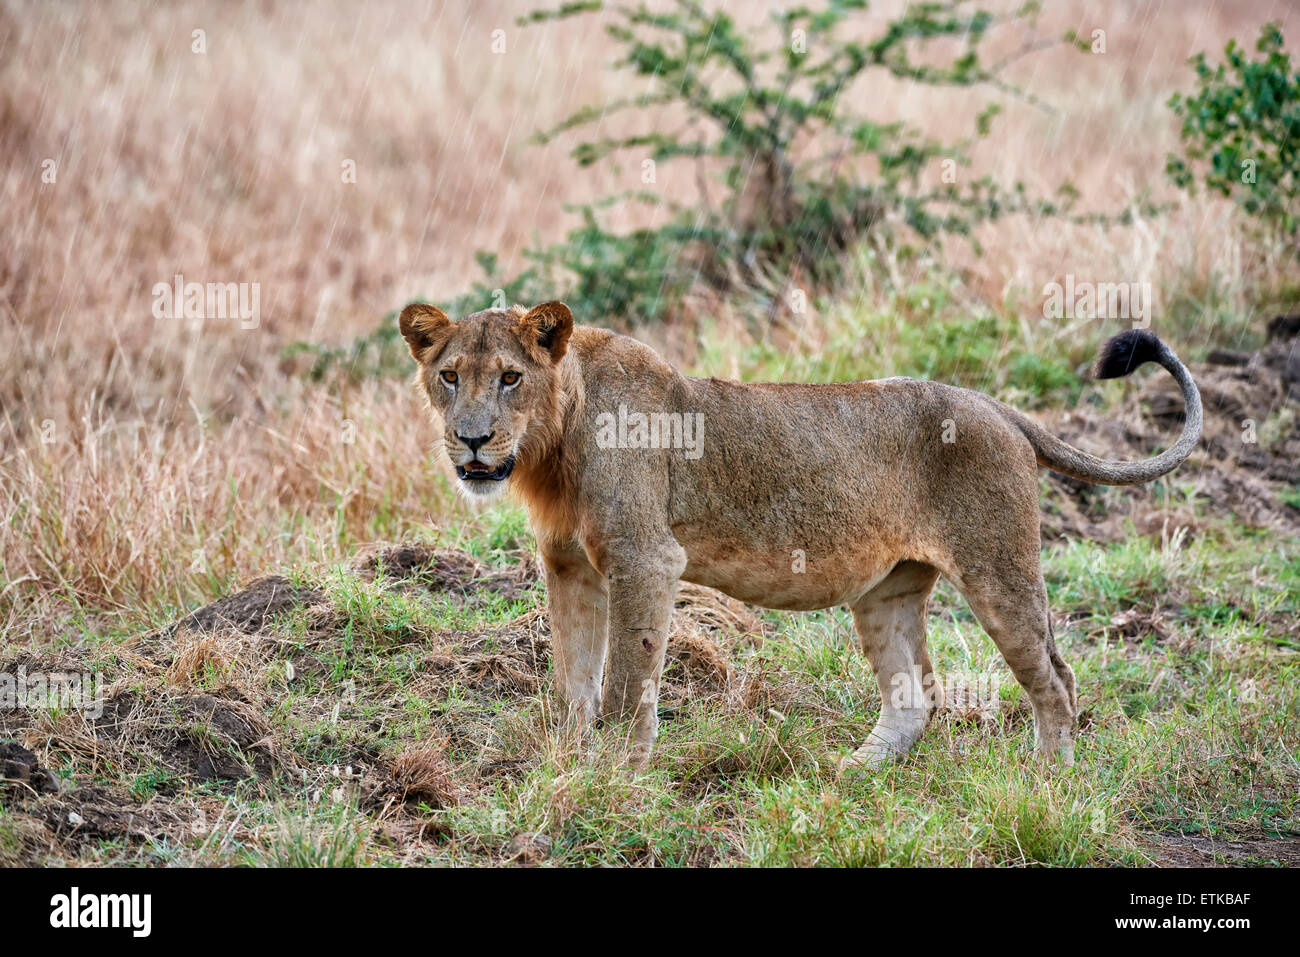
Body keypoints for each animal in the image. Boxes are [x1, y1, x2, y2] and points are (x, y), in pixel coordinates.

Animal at [399, 300, 1202, 769]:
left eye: (509, 377)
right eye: (450, 375)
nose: (472, 440)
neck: (552, 442)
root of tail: (997, 407)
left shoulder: (645, 558)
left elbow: (626, 686)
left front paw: (615, 777)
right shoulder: (570, 564)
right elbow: (573, 678)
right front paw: (568, 763)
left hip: (997, 568)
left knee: (1058, 679)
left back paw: (1049, 782)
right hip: (887, 591)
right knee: (915, 695)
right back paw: (853, 774)